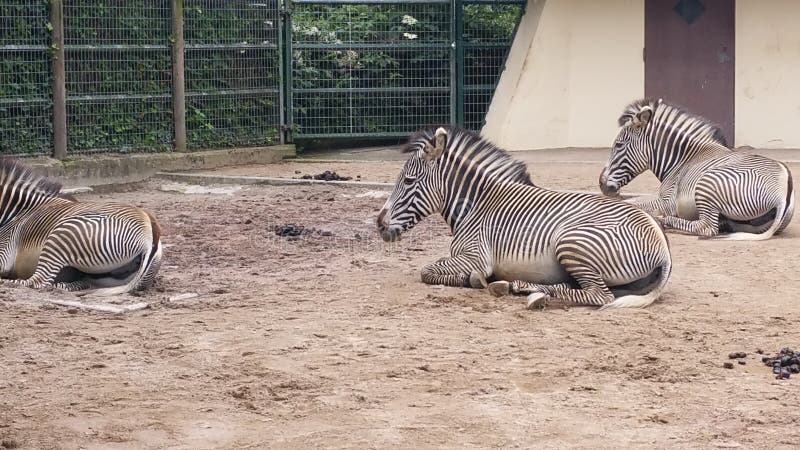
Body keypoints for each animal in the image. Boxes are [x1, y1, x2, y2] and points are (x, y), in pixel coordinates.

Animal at [0, 159, 162, 295]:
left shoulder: (5, 250)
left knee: (37, 281)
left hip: (61, 235)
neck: (18, 212)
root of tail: (150, 231)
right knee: (79, 283)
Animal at [376, 126, 672, 310]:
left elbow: (427, 271)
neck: (475, 205)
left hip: (572, 241)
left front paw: (471, 280)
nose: (379, 224)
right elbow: (431, 268)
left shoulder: (476, 257)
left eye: (408, 180)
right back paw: (520, 286)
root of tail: (661, 242)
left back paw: (532, 293)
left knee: (599, 295)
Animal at [600, 98, 794, 240]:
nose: (601, 183)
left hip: (707, 184)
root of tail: (783, 191)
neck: (681, 160)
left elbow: (630, 203)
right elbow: (632, 200)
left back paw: (663, 221)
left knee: (707, 228)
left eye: (618, 145)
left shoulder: (667, 202)